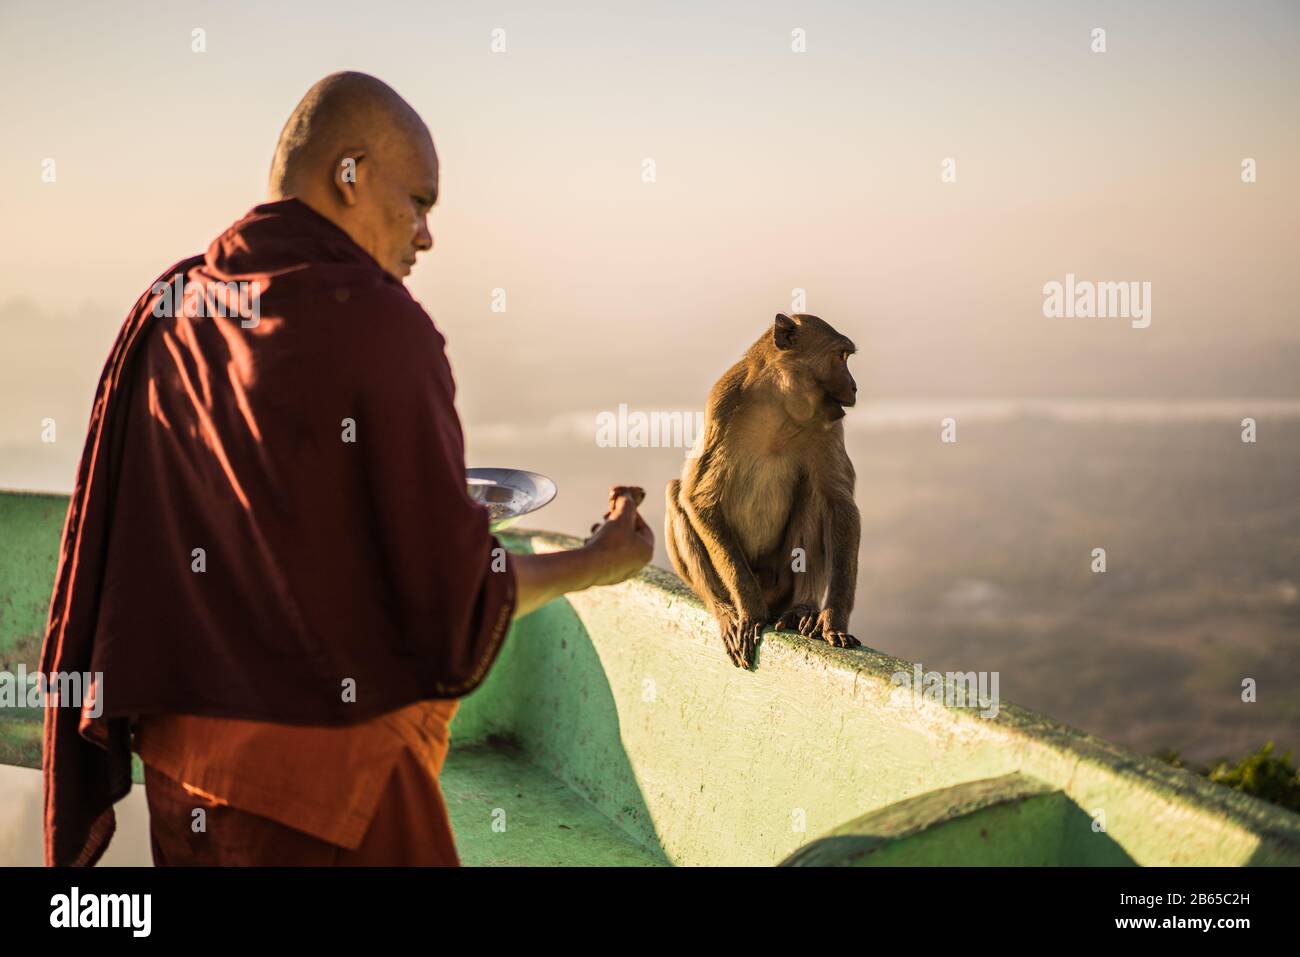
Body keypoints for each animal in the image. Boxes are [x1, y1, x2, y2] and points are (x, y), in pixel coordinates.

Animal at [664, 313, 861, 669]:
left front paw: (833, 621)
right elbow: (699, 498)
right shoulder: (723, 402)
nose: (854, 386)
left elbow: (839, 503)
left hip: (781, 580)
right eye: (840, 357)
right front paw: (750, 610)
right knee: (676, 494)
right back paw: (725, 609)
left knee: (813, 497)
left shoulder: (828, 423)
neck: (779, 405)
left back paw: (801, 610)